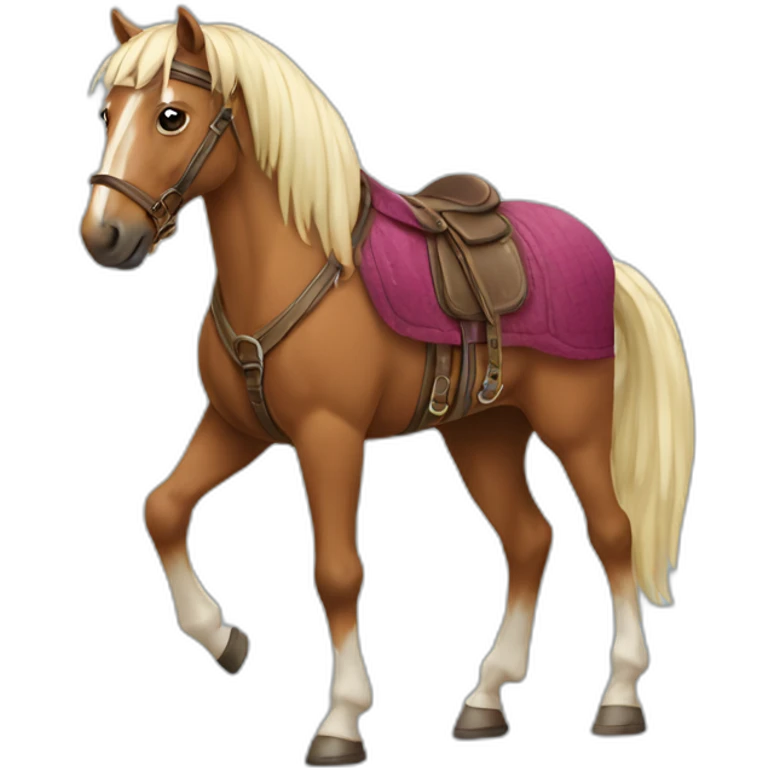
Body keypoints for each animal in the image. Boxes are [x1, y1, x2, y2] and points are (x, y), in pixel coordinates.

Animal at [79, 8, 695, 765]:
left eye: (171, 116)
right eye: (108, 113)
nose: (104, 236)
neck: (296, 262)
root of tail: (605, 257)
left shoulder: (330, 437)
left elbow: (337, 572)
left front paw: (342, 720)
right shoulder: (234, 426)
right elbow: (163, 508)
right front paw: (225, 640)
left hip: (575, 427)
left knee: (613, 533)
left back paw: (619, 698)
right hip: (483, 432)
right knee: (528, 538)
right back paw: (485, 698)